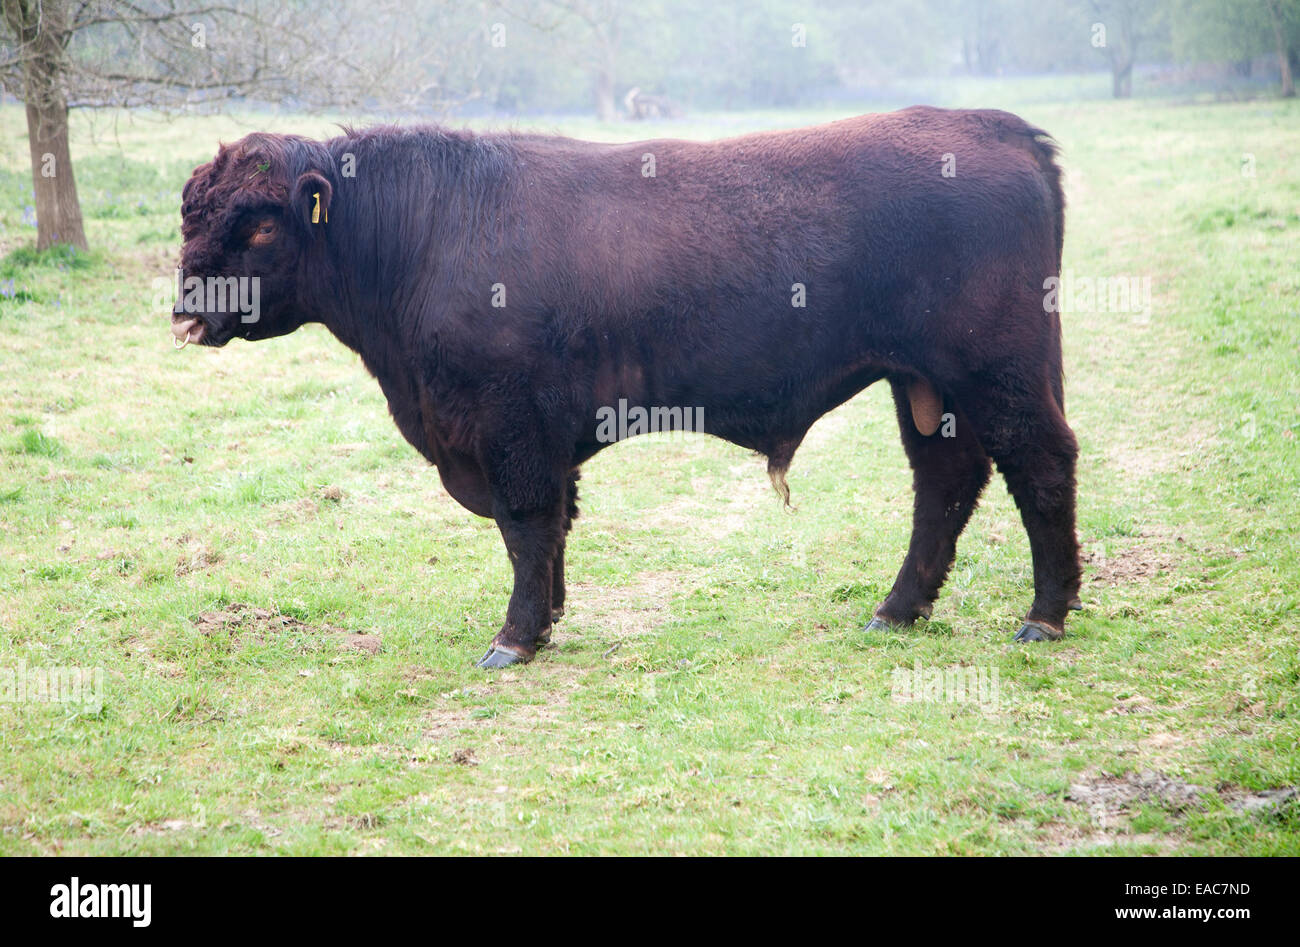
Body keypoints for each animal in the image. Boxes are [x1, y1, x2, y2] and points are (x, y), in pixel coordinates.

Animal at [172, 106, 1082, 669]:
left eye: (258, 224)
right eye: (191, 214)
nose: (187, 308)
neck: (417, 236)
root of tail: (1000, 128)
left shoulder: (511, 427)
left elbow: (526, 525)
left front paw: (514, 637)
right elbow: (552, 530)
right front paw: (549, 618)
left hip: (998, 371)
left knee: (1042, 466)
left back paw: (1043, 615)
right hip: (927, 385)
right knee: (946, 483)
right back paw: (897, 608)